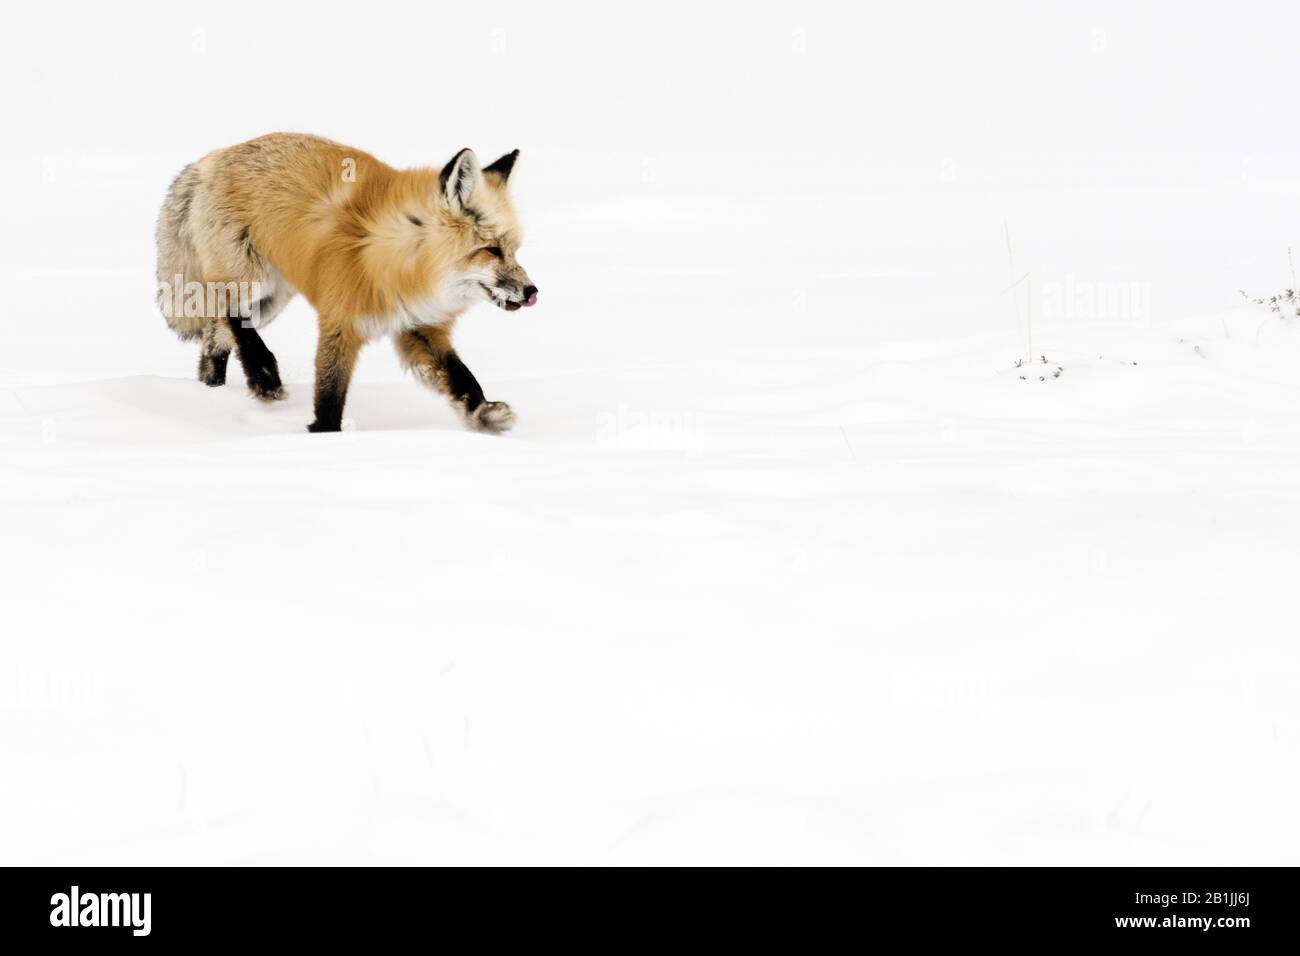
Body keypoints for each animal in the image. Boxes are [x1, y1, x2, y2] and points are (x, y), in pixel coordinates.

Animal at [155, 133, 538, 433]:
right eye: (491, 249)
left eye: (514, 250)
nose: (532, 292)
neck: (402, 260)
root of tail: (211, 157)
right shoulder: (340, 321)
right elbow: (330, 391)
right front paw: (325, 436)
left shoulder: (418, 326)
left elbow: (461, 376)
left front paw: (483, 415)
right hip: (250, 284)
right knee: (229, 314)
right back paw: (263, 377)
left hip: (270, 301)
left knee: (214, 337)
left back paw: (213, 390)